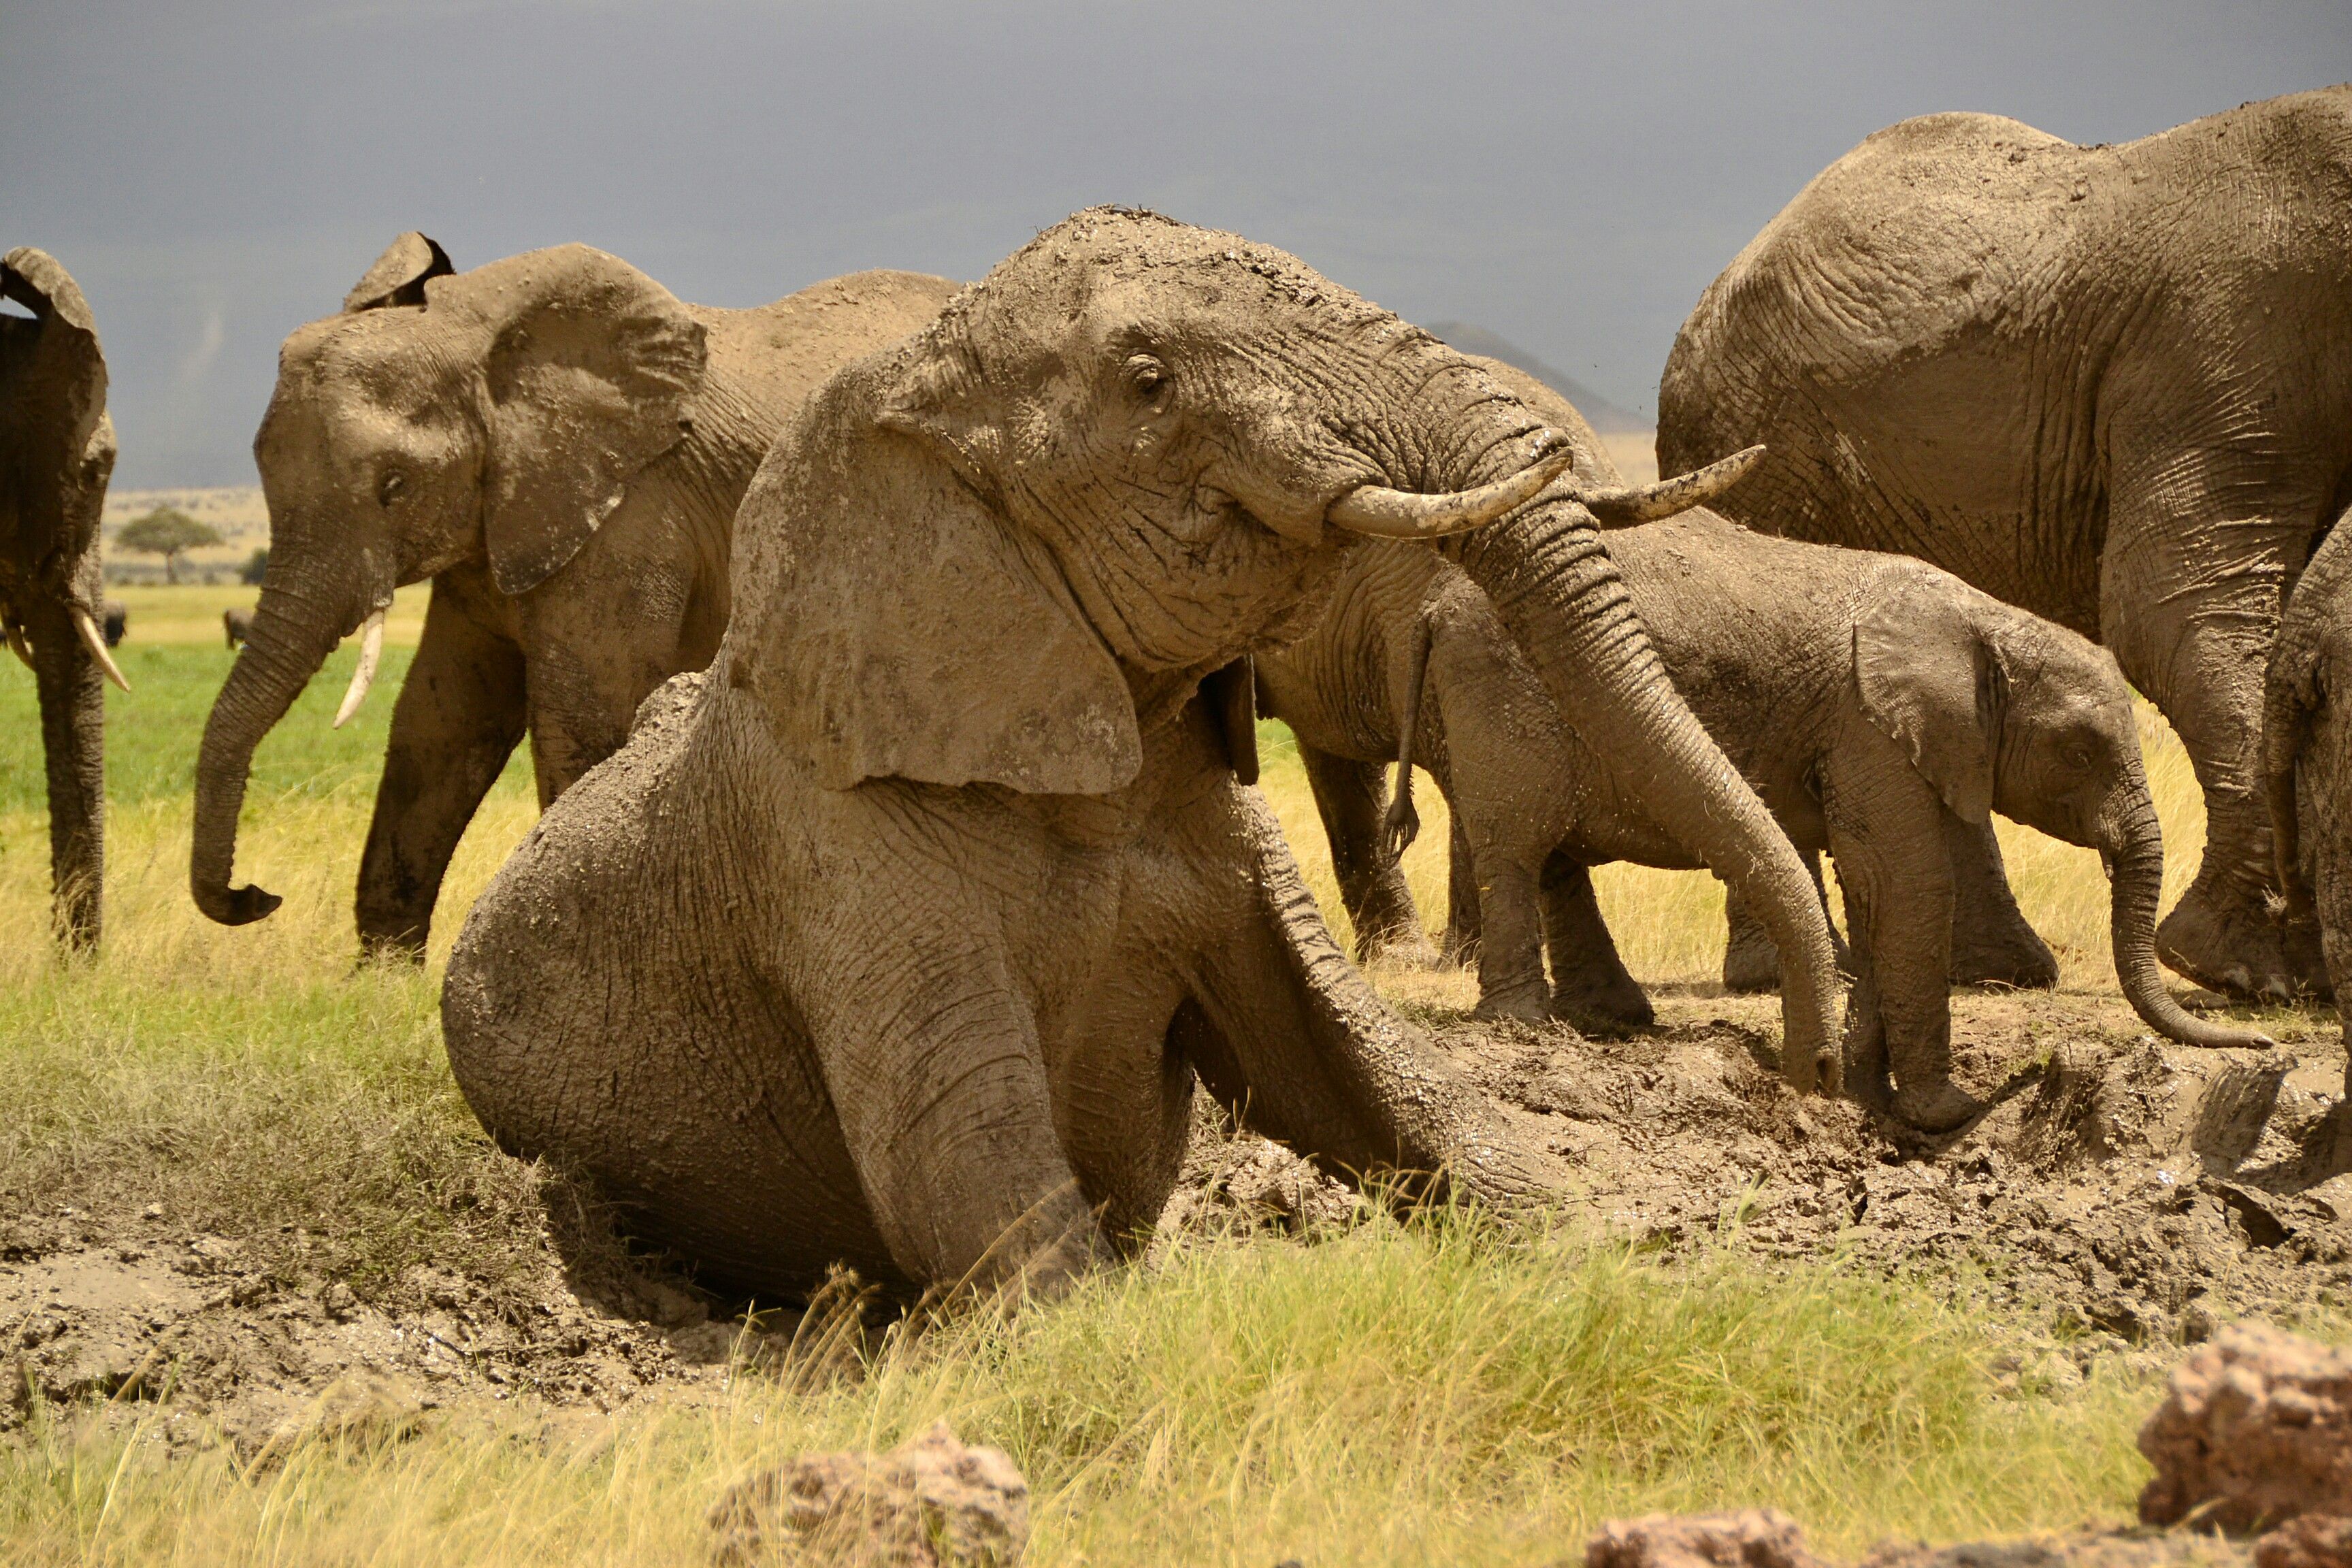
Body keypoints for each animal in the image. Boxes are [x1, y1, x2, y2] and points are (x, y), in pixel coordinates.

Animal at [191, 232, 959, 955]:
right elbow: (441, 720)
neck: (483, 345)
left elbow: (582, 716)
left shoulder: (634, 512)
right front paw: (383, 976)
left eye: (394, 487)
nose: (259, 894)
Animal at [440, 209, 1845, 1302]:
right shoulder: (830, 853)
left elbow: (1355, 1068)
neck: (902, 398)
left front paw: (1603, 1259)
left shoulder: (1218, 820)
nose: (1812, 1071)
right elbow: (963, 1163)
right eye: (1151, 379)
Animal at [1657, 86, 2352, 1004]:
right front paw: (2250, 972)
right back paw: (1791, 977)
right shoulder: (2225, 343)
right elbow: (2166, 610)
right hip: (1754, 434)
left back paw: (1994, 972)